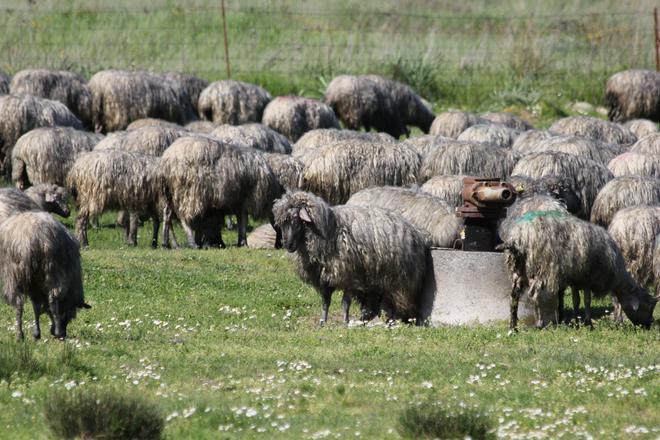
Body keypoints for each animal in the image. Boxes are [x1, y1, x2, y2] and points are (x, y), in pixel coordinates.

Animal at [0, 211, 90, 341]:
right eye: (69, 315)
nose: (65, 332)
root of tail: (32, 239)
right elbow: (41, 307)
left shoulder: (35, 286)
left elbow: (36, 307)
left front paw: (36, 333)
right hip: (51, 270)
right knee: (53, 299)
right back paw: (57, 332)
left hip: (14, 273)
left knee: (18, 304)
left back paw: (19, 335)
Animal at [273, 191, 429, 324]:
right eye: (282, 222)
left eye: (295, 218)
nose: (288, 245)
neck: (328, 230)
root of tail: (415, 231)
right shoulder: (324, 278)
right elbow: (325, 303)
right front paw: (322, 322)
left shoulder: (348, 277)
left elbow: (345, 303)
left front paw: (345, 322)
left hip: (400, 279)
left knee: (397, 300)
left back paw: (392, 321)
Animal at [499, 212, 657, 330]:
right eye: (648, 307)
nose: (649, 325)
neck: (616, 274)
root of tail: (518, 237)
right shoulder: (588, 277)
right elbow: (587, 301)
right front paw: (588, 323)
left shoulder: (575, 278)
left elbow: (576, 300)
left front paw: (577, 321)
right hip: (539, 268)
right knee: (534, 294)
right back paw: (540, 324)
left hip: (518, 270)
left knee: (513, 297)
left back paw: (513, 327)